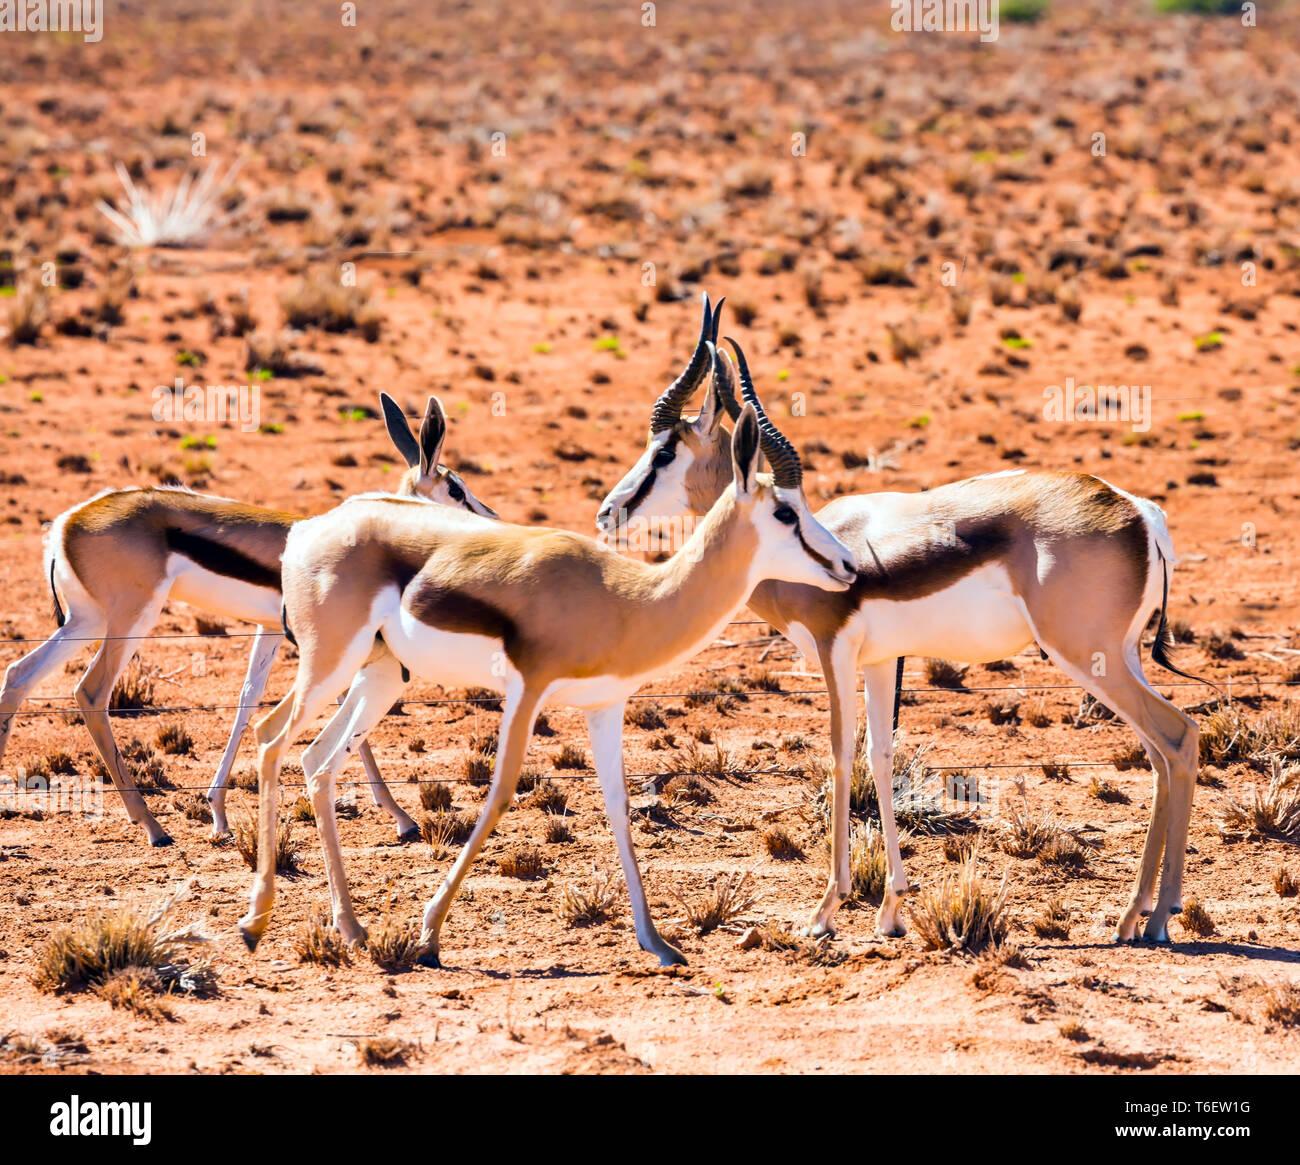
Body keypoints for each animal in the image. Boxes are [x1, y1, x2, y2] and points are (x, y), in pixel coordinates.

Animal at [0, 393, 495, 845]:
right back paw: (153, 827)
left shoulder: (273, 629)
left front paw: (218, 815)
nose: (491, 519)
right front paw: (402, 817)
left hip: (85, 621)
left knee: (19, 675)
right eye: (456, 489)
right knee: (90, 692)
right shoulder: (327, 640)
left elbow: (247, 700)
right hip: (131, 618)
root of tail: (65, 524)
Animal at [237, 342, 858, 967]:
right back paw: (256, 922)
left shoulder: (604, 706)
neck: (627, 596)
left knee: (317, 761)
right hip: (329, 664)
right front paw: (430, 932)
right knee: (270, 740)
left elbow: (618, 806)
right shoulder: (527, 691)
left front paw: (657, 943)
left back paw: (351, 927)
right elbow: (500, 794)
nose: (849, 566)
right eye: (785, 512)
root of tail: (313, 527)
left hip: (380, 676)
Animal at [598, 294, 1204, 945]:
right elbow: (881, 758)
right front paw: (890, 908)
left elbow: (841, 755)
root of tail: (1138, 511)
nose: (609, 511)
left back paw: (1157, 917)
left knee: (1177, 736)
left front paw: (825, 910)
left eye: (664, 451)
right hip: (1122, 657)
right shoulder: (882, 659)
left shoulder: (834, 650)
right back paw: (1138, 914)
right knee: (1161, 752)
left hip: (1088, 656)